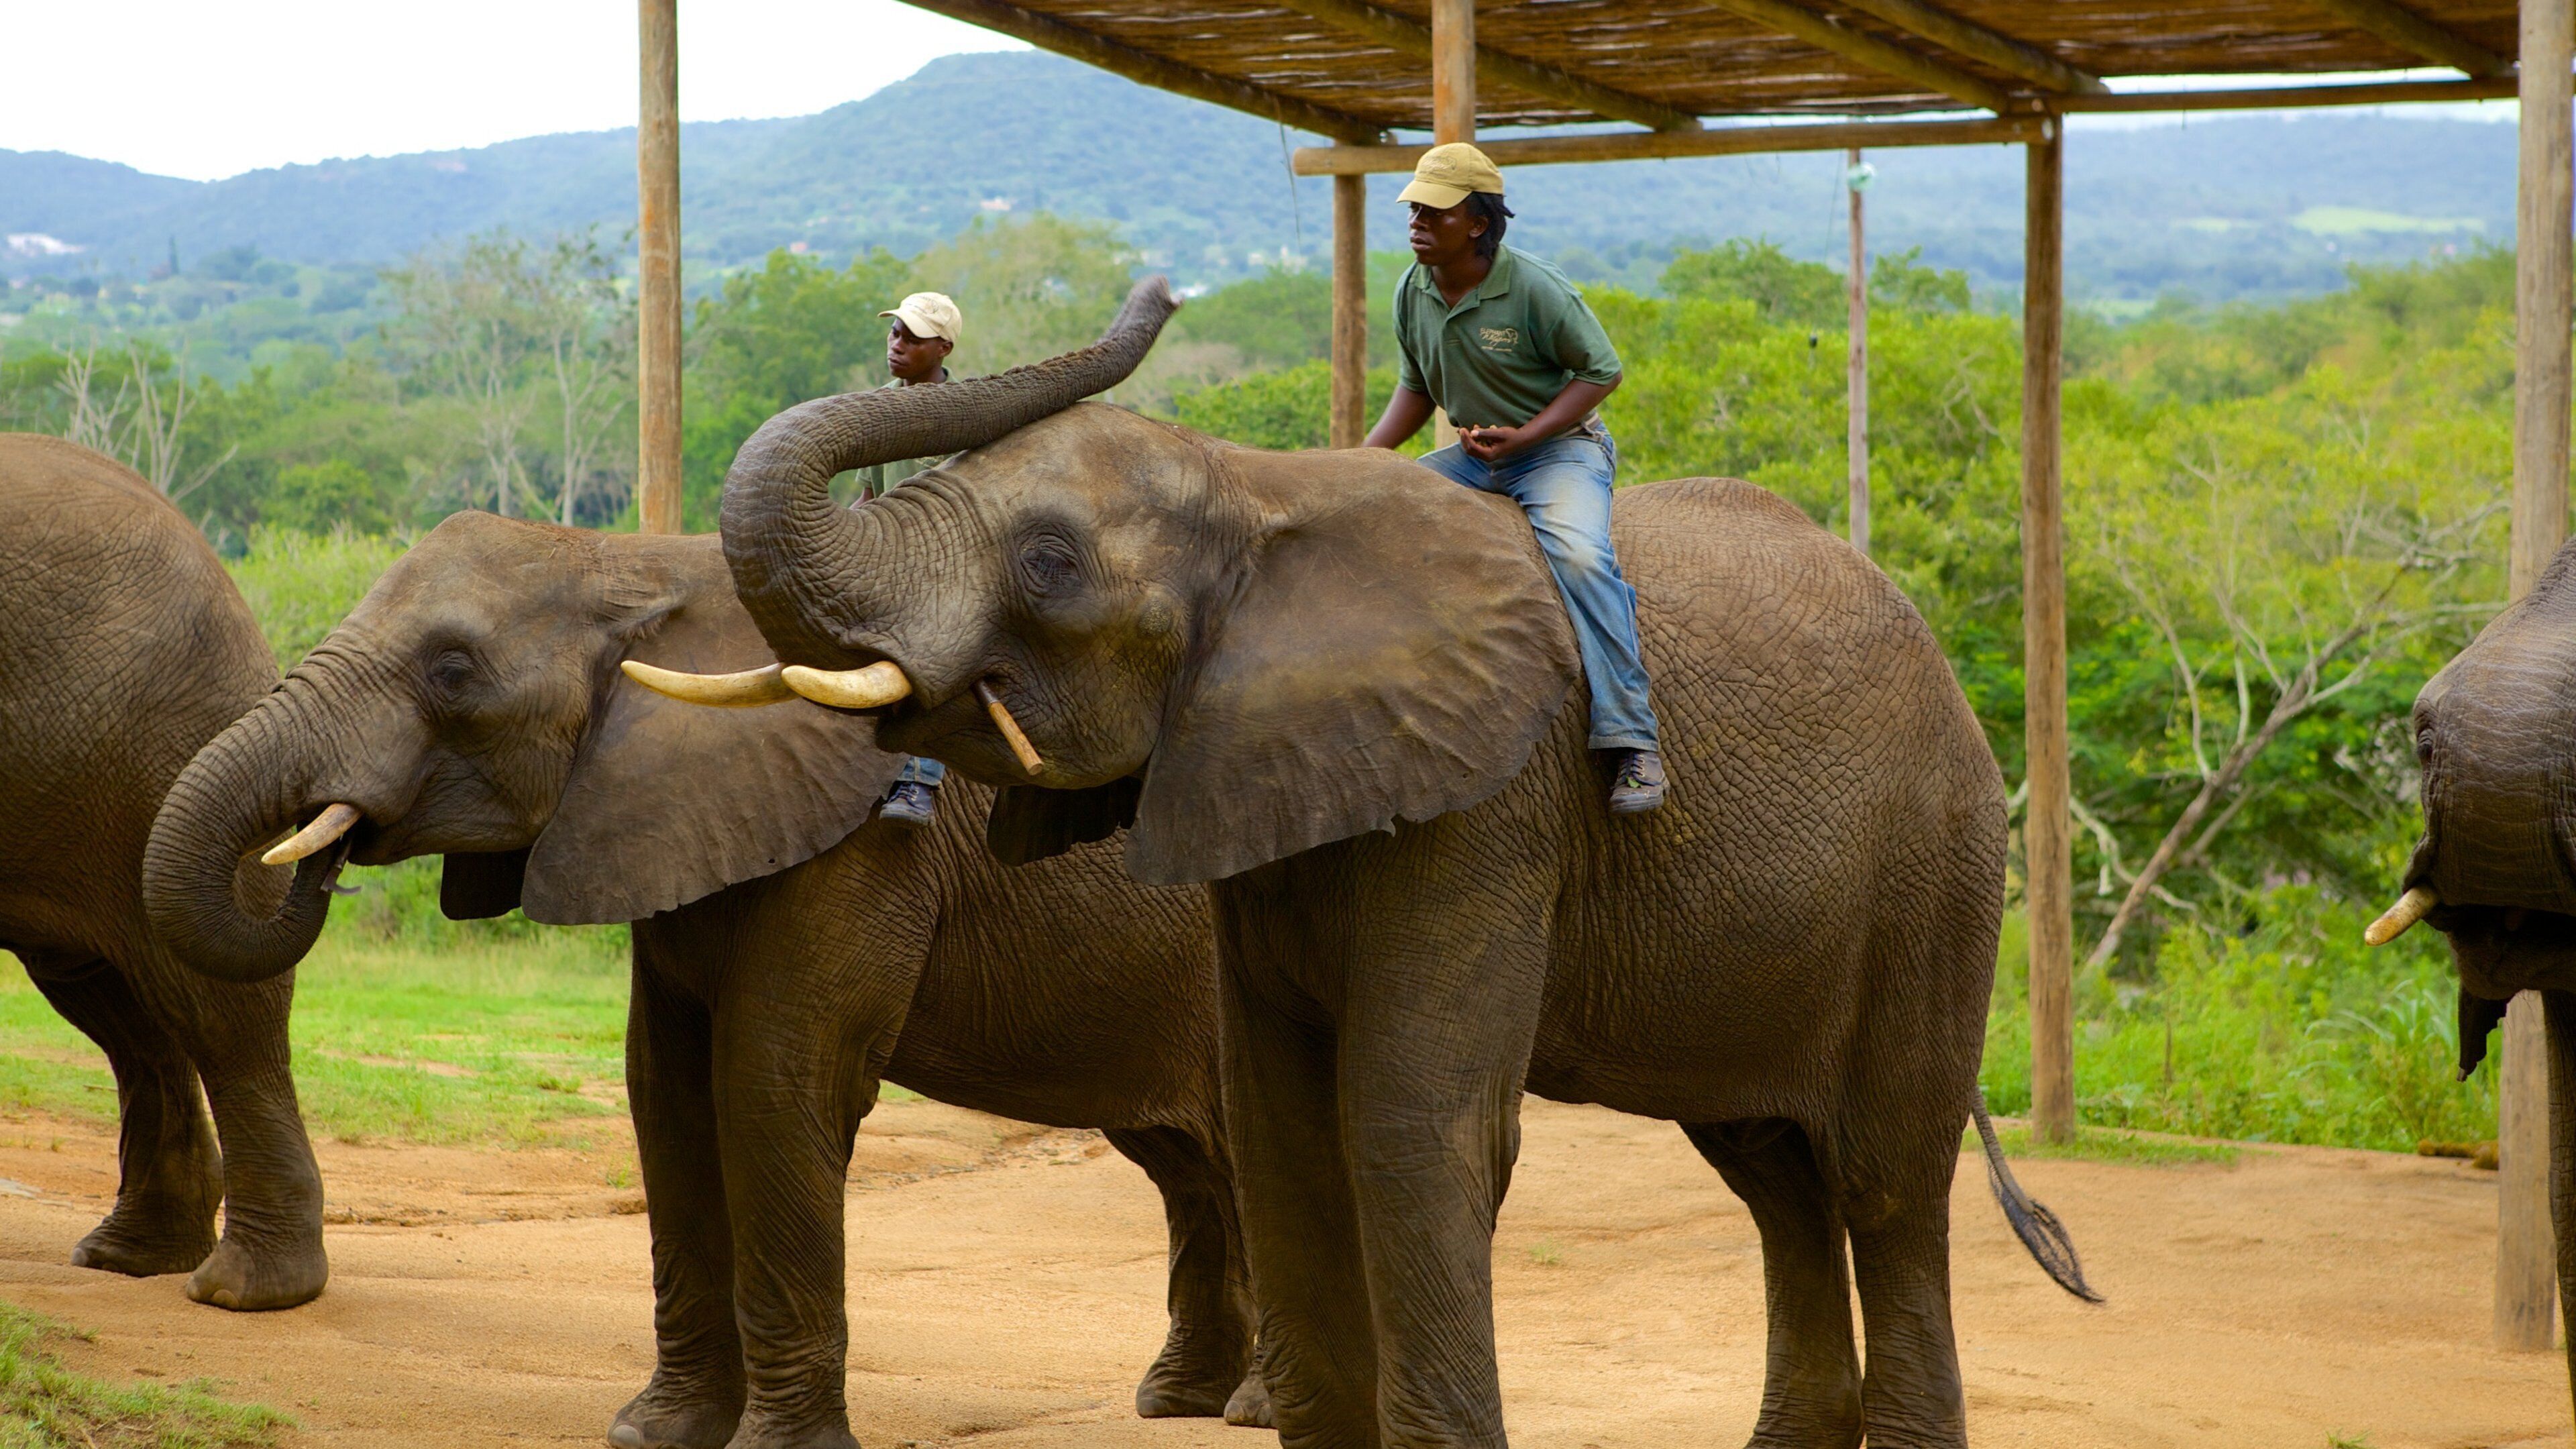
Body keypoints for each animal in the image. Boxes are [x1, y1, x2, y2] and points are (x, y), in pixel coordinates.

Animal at [139, 511, 1269, 1449]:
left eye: (453, 671)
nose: (321, 840)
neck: (640, 564)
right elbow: (666, 1093)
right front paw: (654, 1433)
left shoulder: (858, 846)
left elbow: (771, 1083)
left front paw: (778, 1448)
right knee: (1188, 1159)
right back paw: (1181, 1401)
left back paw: (1253, 1412)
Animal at [655, 278, 2094, 1449]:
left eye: (1051, 564)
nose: (1163, 286)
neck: (1262, 493)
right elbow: (1284, 1133)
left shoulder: (1494, 798)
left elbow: (1408, 1124)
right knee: (1773, 1177)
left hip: (1938, 868)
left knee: (1885, 1181)